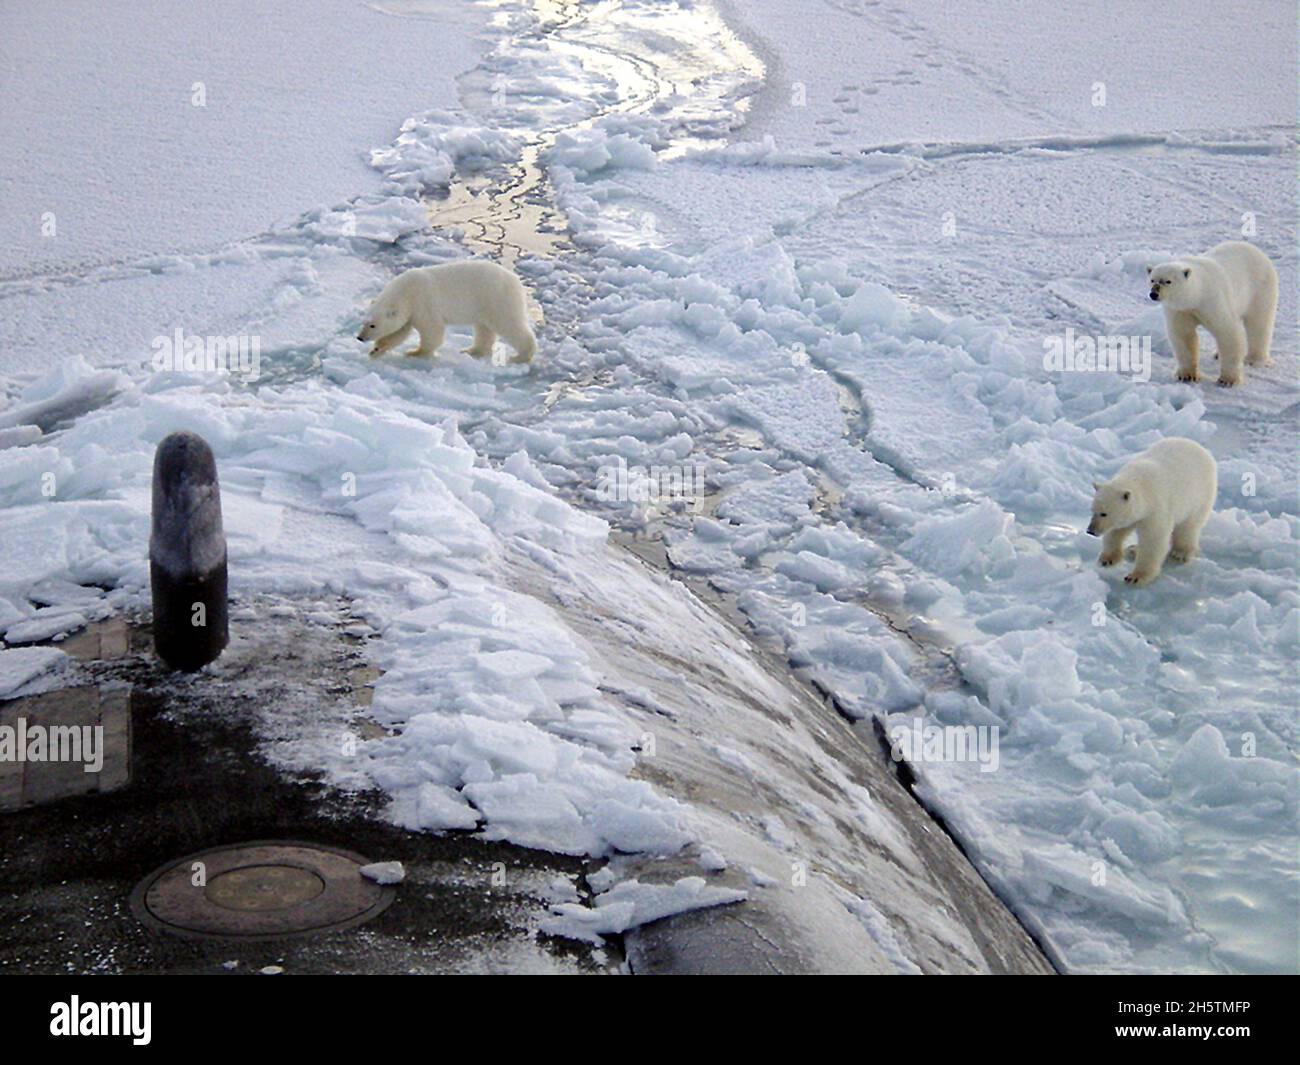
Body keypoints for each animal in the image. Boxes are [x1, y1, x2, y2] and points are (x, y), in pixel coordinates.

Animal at [356, 260, 533, 364]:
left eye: (372, 325)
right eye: (364, 322)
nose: (360, 338)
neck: (406, 291)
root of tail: (516, 280)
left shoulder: (423, 302)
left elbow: (432, 330)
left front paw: (415, 352)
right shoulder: (409, 310)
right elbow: (399, 332)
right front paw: (376, 351)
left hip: (497, 299)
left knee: (509, 325)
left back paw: (521, 356)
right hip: (484, 305)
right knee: (484, 329)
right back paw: (472, 350)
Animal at [1086, 442, 1216, 590]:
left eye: (1104, 513)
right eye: (1093, 510)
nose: (1090, 530)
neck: (1141, 483)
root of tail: (1199, 447)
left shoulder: (1156, 509)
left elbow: (1153, 540)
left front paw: (1135, 577)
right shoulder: (1134, 515)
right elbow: (1116, 532)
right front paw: (1107, 559)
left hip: (1199, 497)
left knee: (1188, 527)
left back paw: (1180, 553)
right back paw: (1133, 550)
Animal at [1149, 240, 1279, 387]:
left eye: (1168, 281)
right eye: (1152, 280)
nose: (1154, 294)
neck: (1197, 293)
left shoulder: (1213, 300)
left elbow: (1227, 331)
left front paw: (1227, 380)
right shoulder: (1181, 310)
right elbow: (1183, 335)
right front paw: (1187, 375)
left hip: (1260, 288)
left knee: (1259, 323)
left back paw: (1254, 359)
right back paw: (1218, 354)